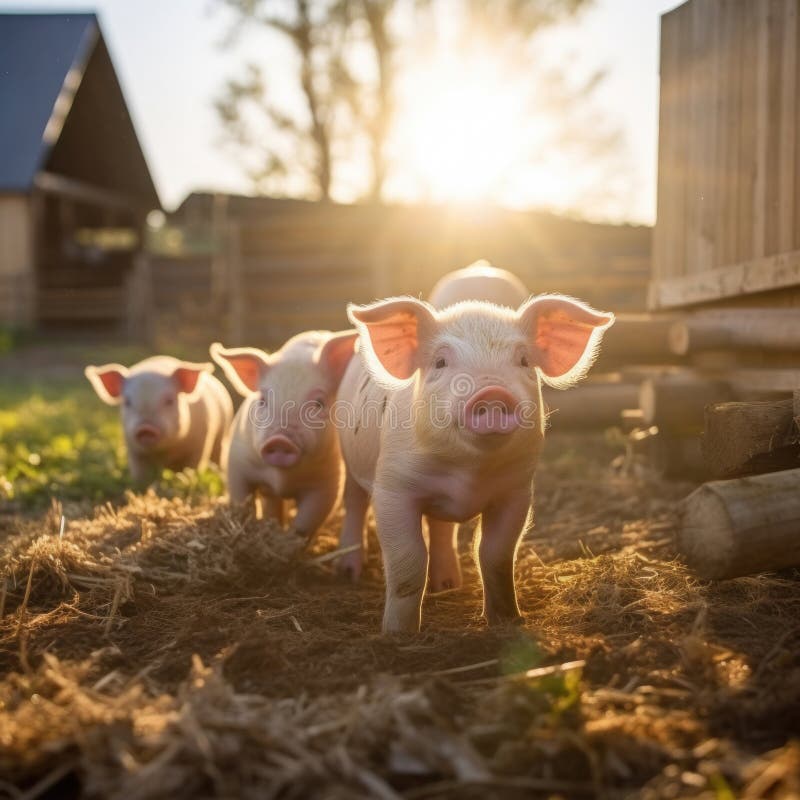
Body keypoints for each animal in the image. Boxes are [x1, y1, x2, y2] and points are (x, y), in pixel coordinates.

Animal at [85, 356, 233, 483]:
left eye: (169, 400)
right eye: (127, 402)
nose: (145, 428)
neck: (164, 453)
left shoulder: (200, 443)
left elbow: (193, 466)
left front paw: (186, 480)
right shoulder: (133, 449)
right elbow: (140, 474)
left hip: (222, 435)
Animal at [210, 330, 357, 539]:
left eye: (318, 403)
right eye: (262, 400)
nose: (280, 440)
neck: (282, 478)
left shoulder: (328, 481)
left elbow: (307, 521)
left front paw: (289, 541)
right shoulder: (237, 464)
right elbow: (241, 500)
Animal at [335, 294, 613, 632]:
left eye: (523, 360)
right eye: (440, 362)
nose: (493, 392)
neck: (469, 472)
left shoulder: (516, 492)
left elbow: (496, 555)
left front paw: (507, 622)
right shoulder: (392, 488)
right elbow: (408, 561)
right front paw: (398, 634)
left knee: (441, 528)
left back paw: (448, 584)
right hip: (350, 459)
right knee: (354, 503)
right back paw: (348, 573)